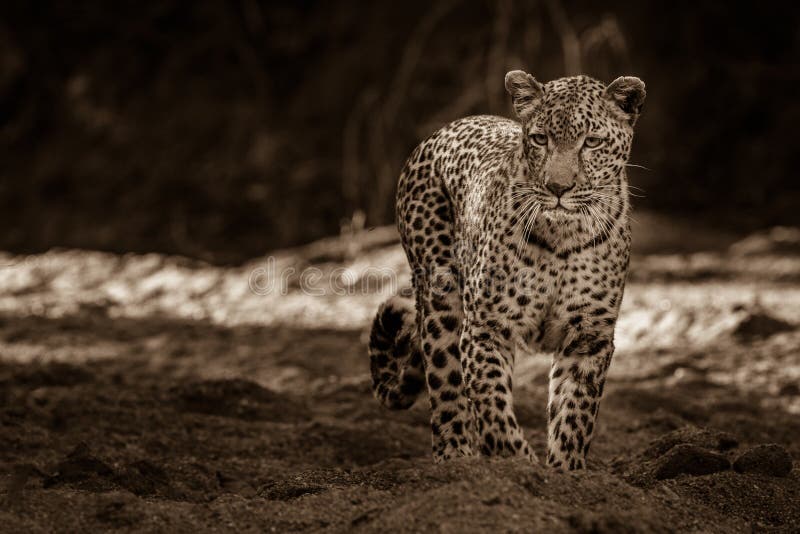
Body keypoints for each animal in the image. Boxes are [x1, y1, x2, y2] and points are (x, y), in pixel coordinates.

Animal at [369, 70, 645, 470]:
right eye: (540, 139)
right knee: (445, 384)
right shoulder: (486, 328)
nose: (558, 188)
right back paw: (456, 457)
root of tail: (443, 129)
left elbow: (574, 416)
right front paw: (518, 462)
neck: (564, 234)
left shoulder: (589, 337)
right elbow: (492, 408)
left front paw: (565, 471)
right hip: (440, 300)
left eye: (591, 142)